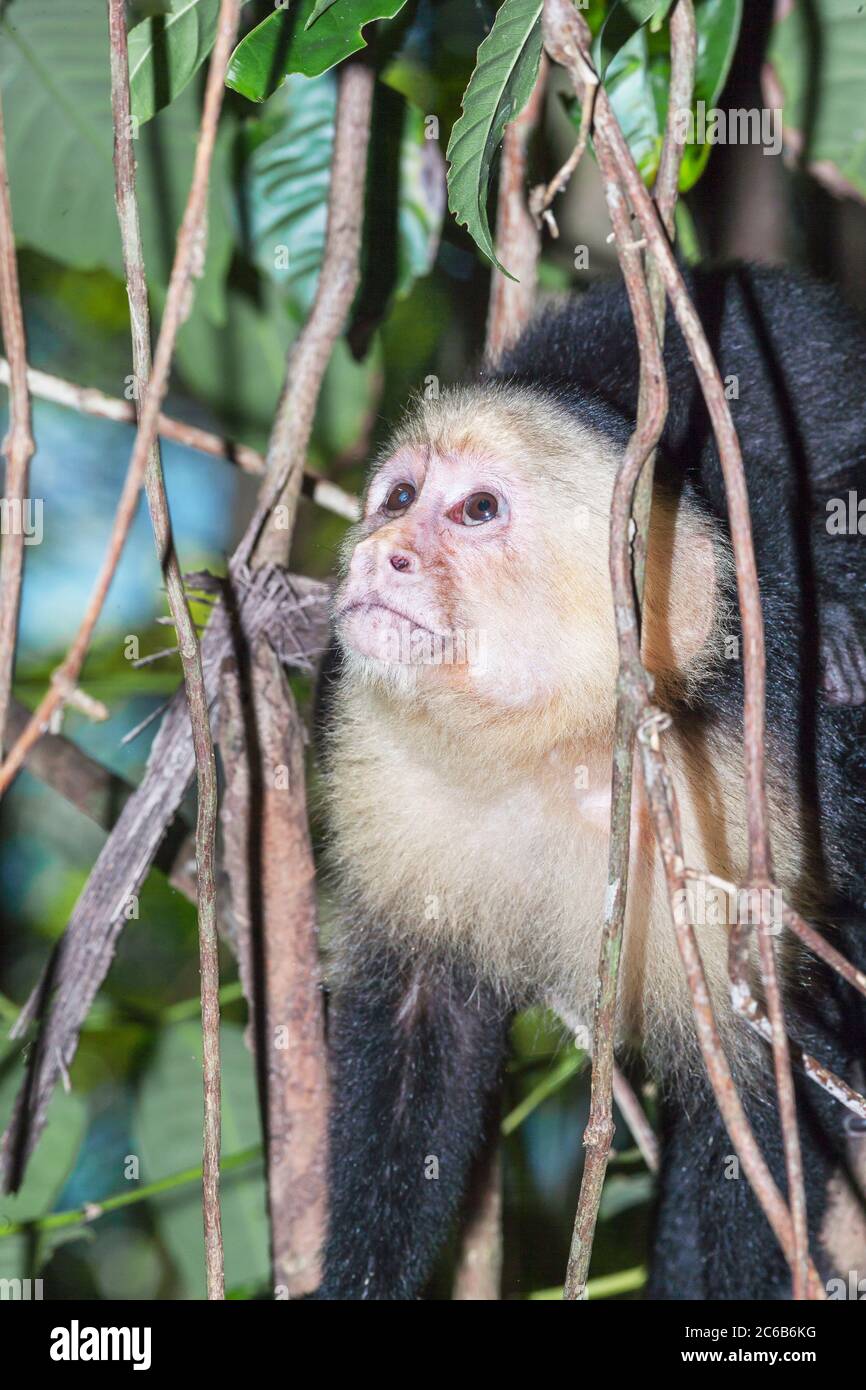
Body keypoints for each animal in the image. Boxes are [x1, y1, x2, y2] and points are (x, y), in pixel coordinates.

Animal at [311, 264, 866, 1300]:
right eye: (398, 495)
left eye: (477, 511)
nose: (379, 551)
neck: (556, 743)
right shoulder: (374, 755)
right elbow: (418, 1025)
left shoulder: (741, 791)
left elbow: (761, 1111)